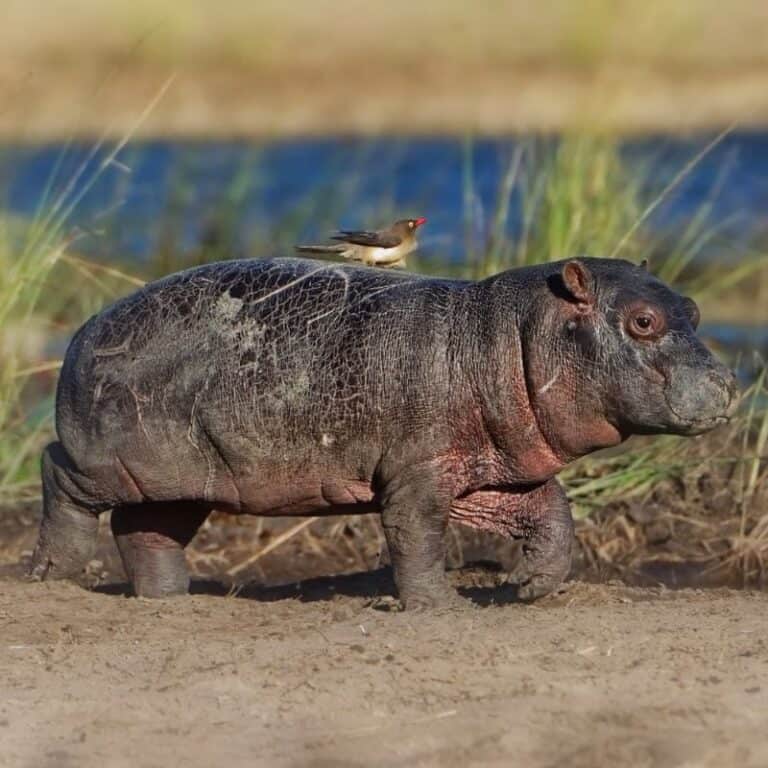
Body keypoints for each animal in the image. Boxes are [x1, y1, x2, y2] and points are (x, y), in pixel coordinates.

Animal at [30, 256, 737, 608]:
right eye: (643, 320)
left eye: (693, 308)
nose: (730, 382)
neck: (508, 333)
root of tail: (83, 331)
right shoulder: (418, 468)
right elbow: (415, 533)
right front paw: (440, 606)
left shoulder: (492, 467)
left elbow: (551, 513)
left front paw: (532, 587)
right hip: (104, 459)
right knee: (57, 473)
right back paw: (49, 571)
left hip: (183, 476)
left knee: (145, 527)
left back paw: (170, 599)